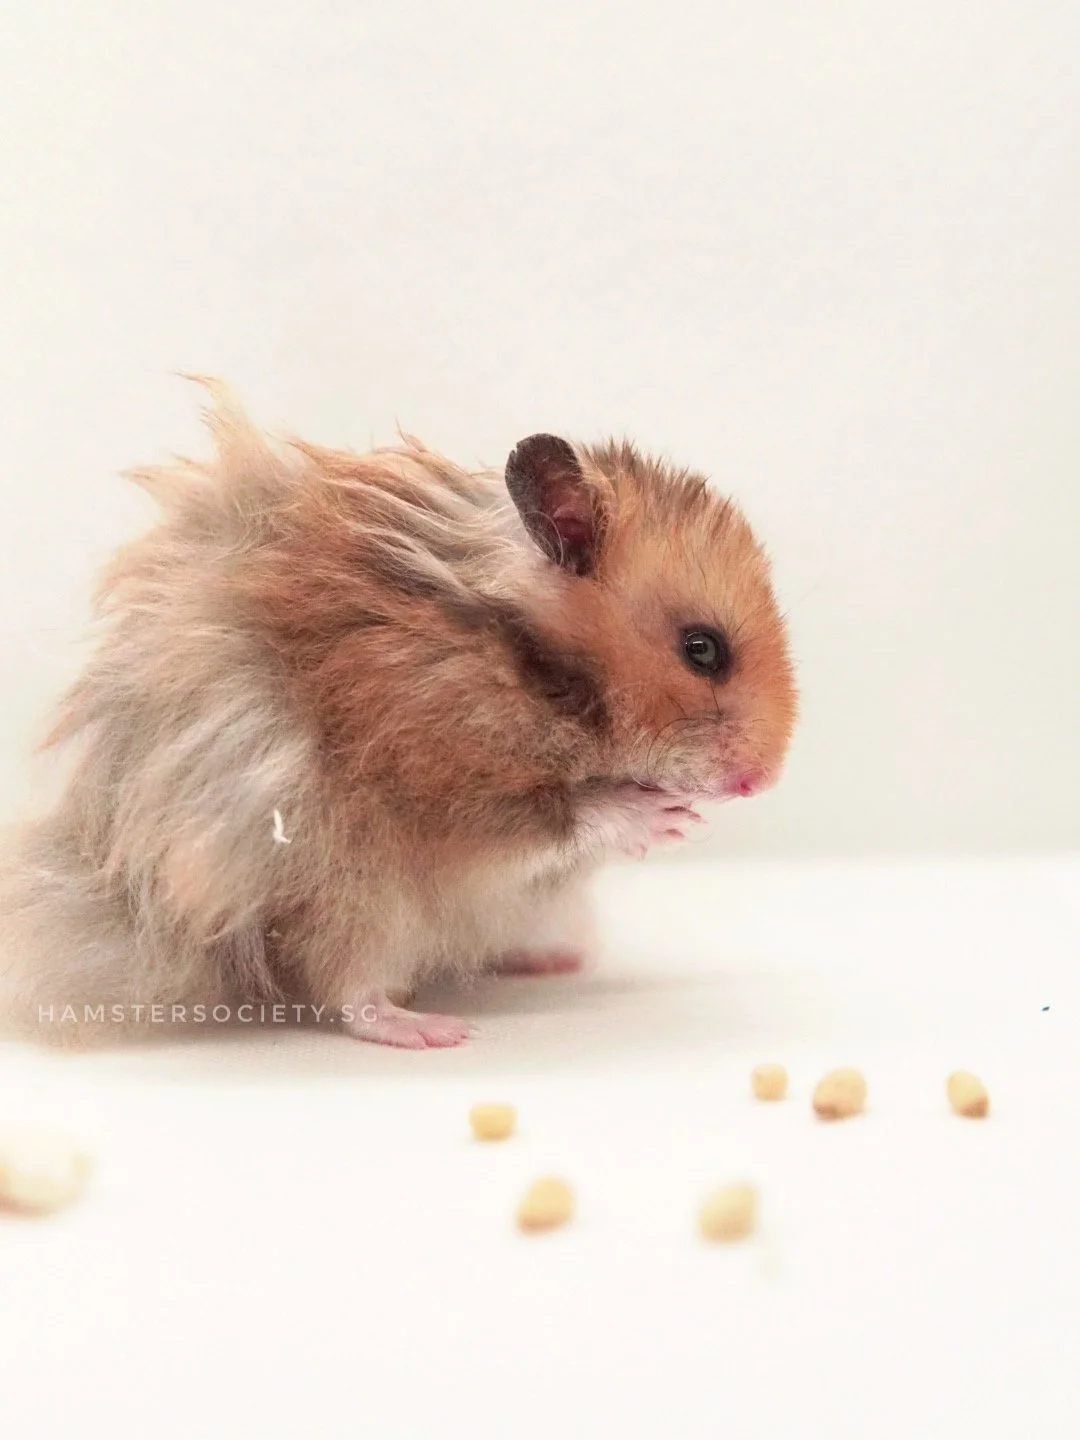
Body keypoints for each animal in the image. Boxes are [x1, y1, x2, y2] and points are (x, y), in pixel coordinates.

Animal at [0, 381, 796, 1049]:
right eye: (702, 650)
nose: (763, 781)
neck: (529, 660)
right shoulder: (432, 764)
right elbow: (550, 814)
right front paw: (663, 818)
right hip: (344, 889)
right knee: (340, 982)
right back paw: (431, 1031)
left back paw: (553, 959)